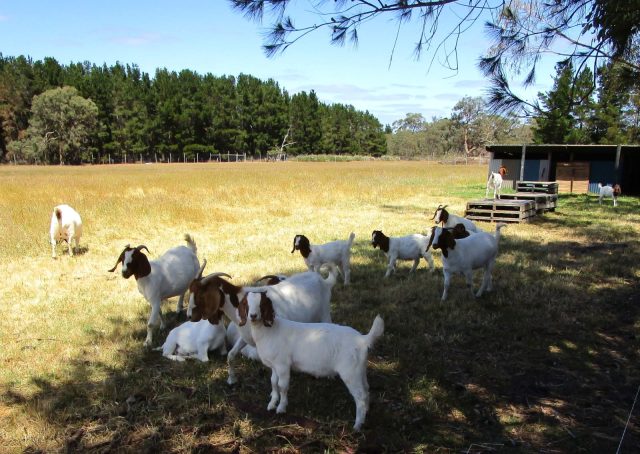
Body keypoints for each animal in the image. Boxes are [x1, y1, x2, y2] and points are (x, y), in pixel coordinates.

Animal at [188, 267, 336, 385]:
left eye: (200, 295)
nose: (189, 316)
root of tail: (322, 280)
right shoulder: (245, 337)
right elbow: (231, 355)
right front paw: (231, 380)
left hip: (325, 313)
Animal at [238, 292, 383, 431]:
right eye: (246, 303)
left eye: (261, 303)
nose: (253, 315)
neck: (270, 330)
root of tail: (363, 339)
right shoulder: (274, 365)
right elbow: (273, 383)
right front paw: (272, 404)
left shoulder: (283, 365)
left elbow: (282, 386)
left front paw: (281, 408)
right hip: (359, 369)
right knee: (366, 389)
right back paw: (366, 412)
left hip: (350, 372)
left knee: (360, 396)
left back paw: (357, 425)